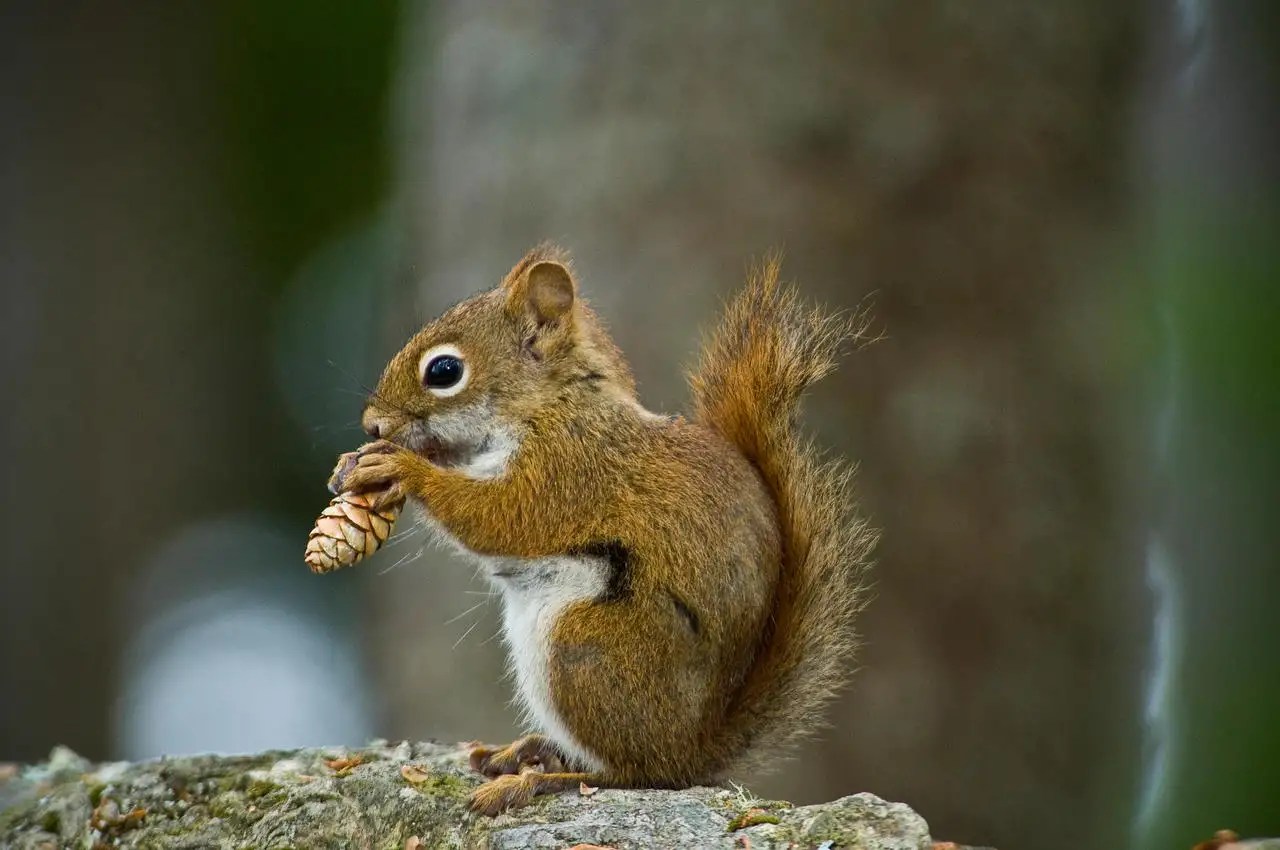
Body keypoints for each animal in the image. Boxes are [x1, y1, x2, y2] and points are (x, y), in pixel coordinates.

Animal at [329, 244, 876, 815]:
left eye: (443, 370)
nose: (372, 426)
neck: (551, 403)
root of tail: (693, 752)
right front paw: (355, 464)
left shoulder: (570, 466)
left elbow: (501, 516)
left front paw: (401, 468)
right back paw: (525, 751)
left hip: (583, 649)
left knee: (635, 774)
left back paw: (538, 780)